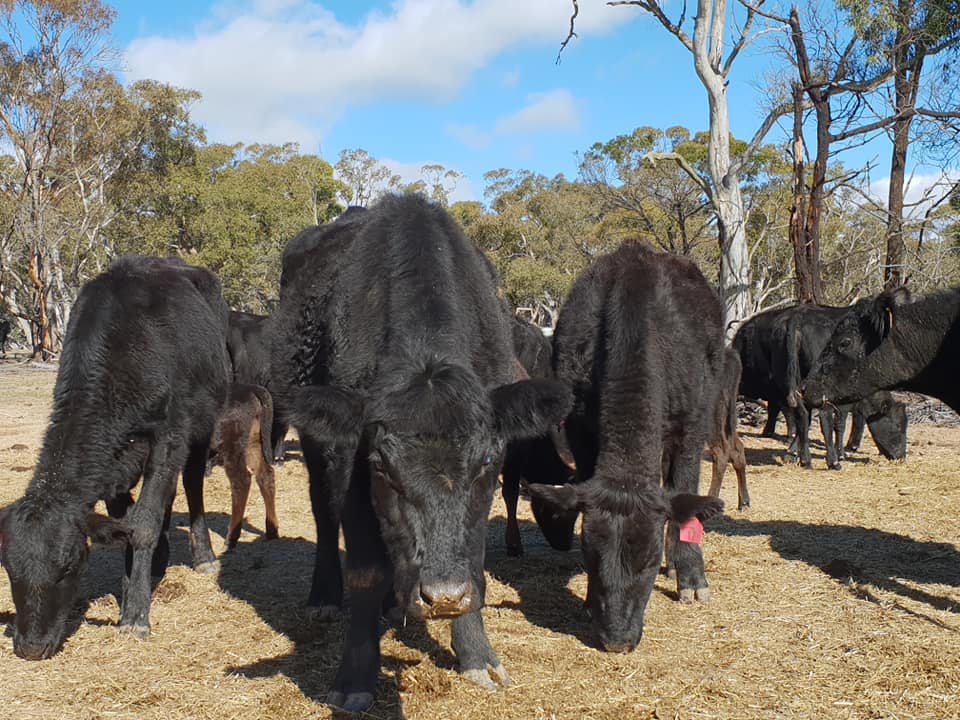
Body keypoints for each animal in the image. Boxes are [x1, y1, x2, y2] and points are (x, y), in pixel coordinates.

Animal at [0, 255, 228, 659]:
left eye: (68, 566)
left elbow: (144, 524)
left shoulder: (169, 437)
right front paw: (133, 579)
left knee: (191, 483)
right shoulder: (114, 465)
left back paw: (203, 555)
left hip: (203, 422)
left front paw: (135, 612)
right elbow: (127, 522)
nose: (31, 646)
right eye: (9, 570)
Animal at [208, 383, 278, 549]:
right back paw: (272, 531)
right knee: (265, 475)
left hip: (232, 447)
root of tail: (250, 388)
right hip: (253, 442)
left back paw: (231, 538)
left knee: (241, 482)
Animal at [527, 240, 725, 655]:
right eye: (588, 554)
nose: (616, 641)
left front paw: (690, 575)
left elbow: (684, 495)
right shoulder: (581, 431)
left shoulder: (690, 429)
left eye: (648, 562)